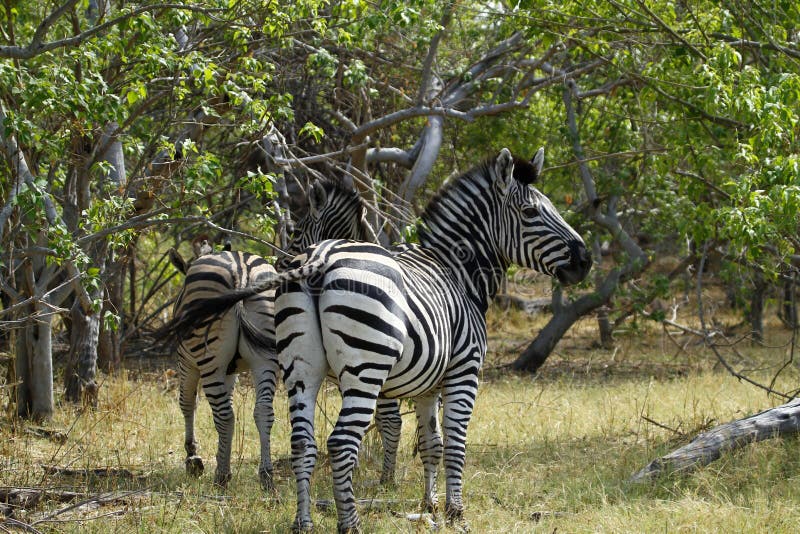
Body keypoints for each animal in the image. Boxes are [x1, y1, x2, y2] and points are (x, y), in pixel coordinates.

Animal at [168, 177, 404, 491]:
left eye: (297, 231)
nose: (282, 262)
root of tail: (241, 270)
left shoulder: (187, 361)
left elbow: (186, 403)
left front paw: (193, 458)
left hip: (212, 357)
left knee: (224, 414)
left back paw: (223, 475)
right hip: (268, 358)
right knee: (265, 412)